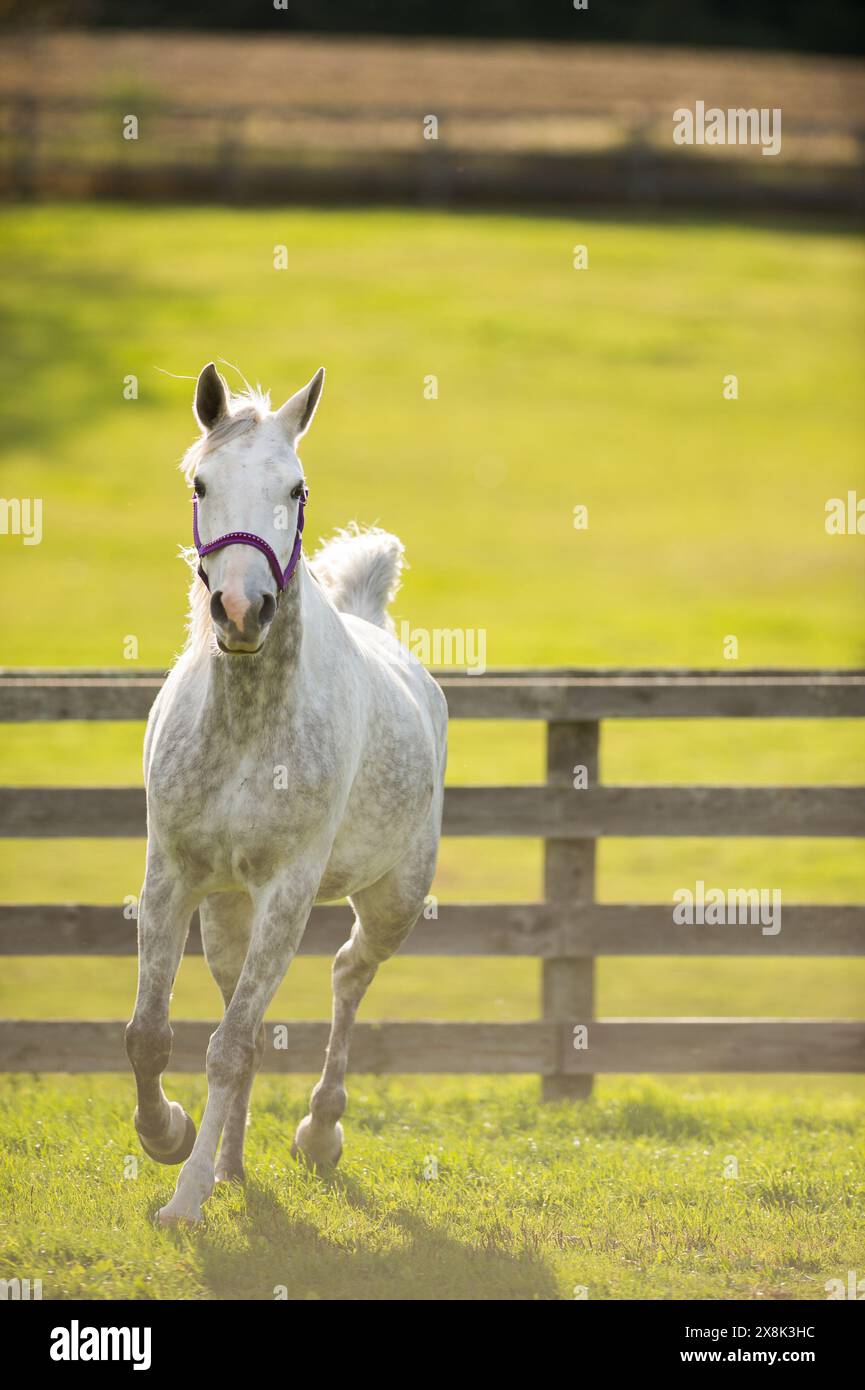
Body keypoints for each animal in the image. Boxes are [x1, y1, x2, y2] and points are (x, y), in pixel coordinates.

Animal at [125, 363, 448, 1227]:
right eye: (200, 483)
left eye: (296, 488)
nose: (242, 611)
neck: (244, 727)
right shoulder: (172, 873)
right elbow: (151, 1033)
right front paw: (171, 1136)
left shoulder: (289, 888)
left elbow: (229, 1046)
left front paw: (184, 1196)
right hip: (226, 909)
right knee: (243, 993)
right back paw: (232, 1162)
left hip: (394, 900)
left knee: (348, 973)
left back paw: (318, 1132)